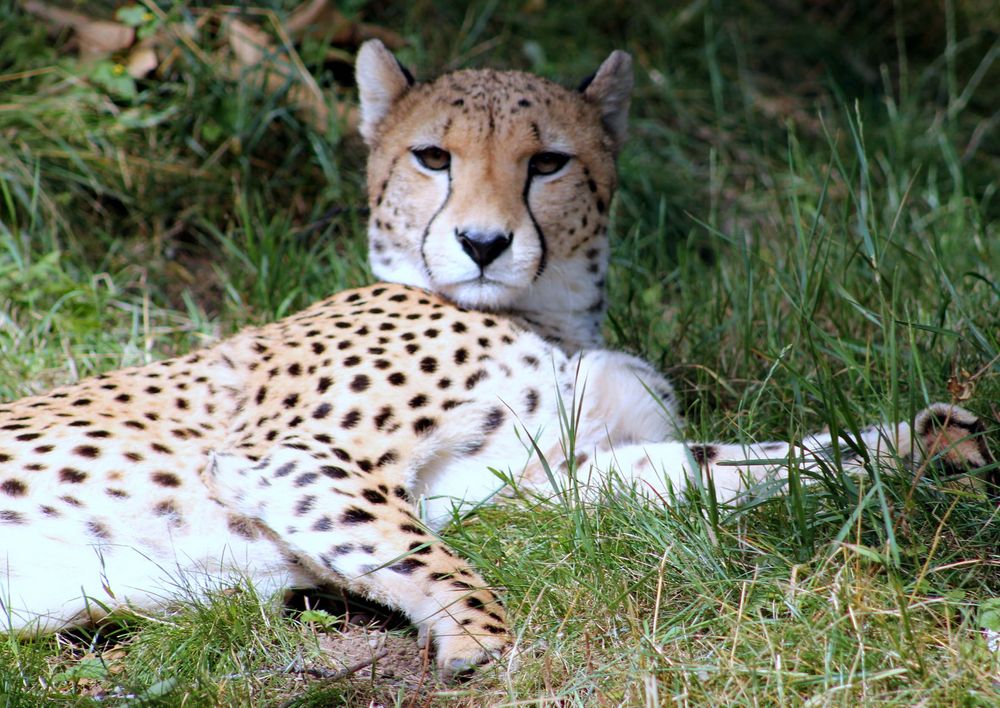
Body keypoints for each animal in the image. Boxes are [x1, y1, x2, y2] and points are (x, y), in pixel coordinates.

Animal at [3, 40, 996, 680]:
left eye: (547, 163)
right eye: (432, 157)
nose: (483, 243)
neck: (547, 315)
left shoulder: (546, 482)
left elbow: (747, 463)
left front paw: (935, 442)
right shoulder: (295, 456)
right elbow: (420, 549)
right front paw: (484, 639)